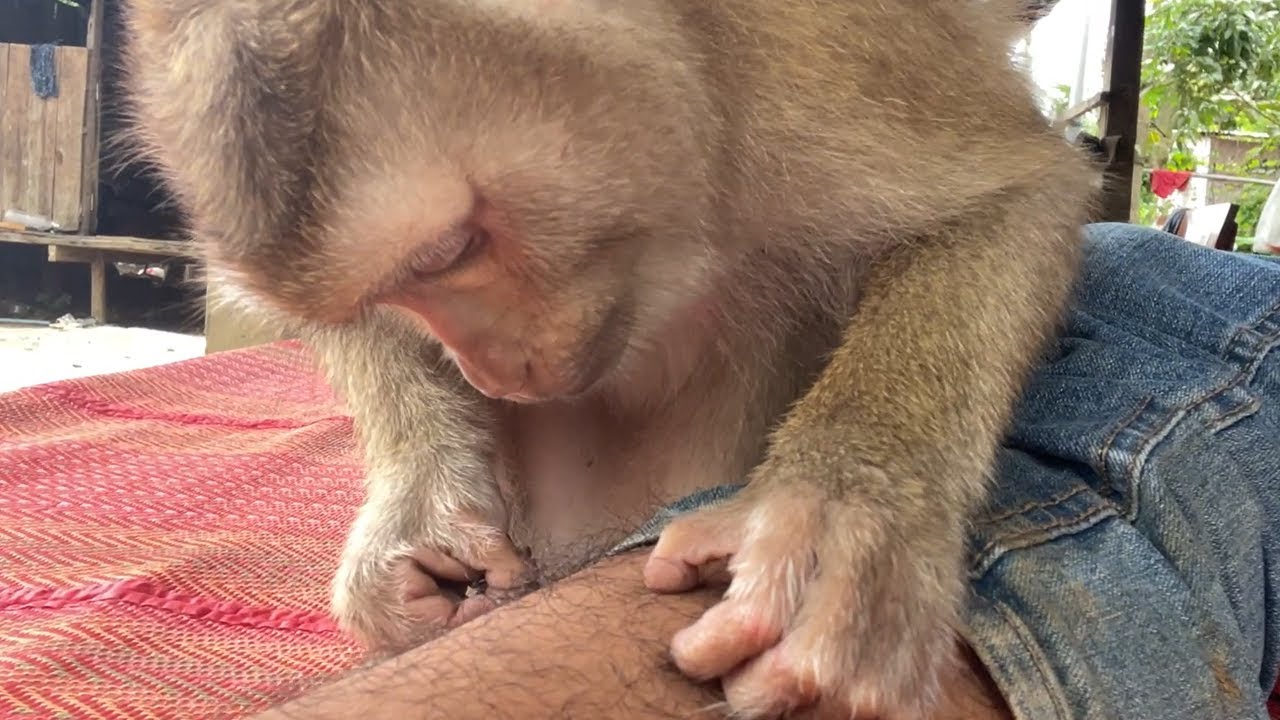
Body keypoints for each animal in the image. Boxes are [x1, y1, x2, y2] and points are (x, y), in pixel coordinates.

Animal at [120, 1, 1096, 717]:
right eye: (397, 286)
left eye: (446, 253)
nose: (491, 371)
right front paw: (419, 512)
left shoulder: (822, 61)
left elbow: (1017, 196)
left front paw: (851, 506)